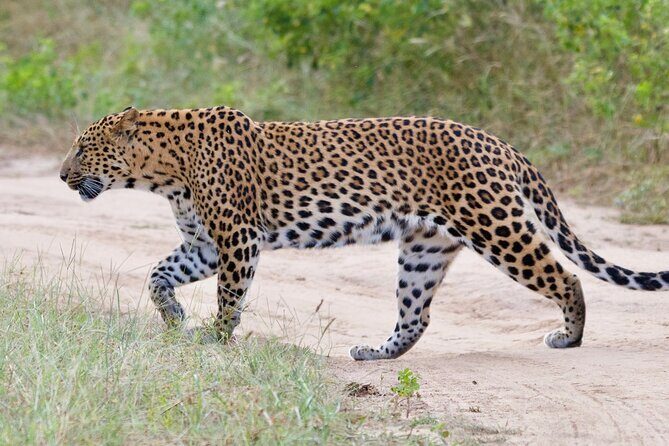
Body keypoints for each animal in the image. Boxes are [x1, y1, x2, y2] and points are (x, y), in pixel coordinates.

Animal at [59, 106, 669, 360]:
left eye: (83, 149)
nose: (62, 175)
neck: (163, 170)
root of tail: (501, 143)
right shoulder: (204, 244)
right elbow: (158, 275)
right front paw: (174, 317)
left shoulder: (236, 239)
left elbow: (230, 296)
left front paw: (215, 340)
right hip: (424, 248)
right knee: (416, 314)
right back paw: (377, 352)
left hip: (496, 226)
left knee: (565, 276)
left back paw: (571, 337)